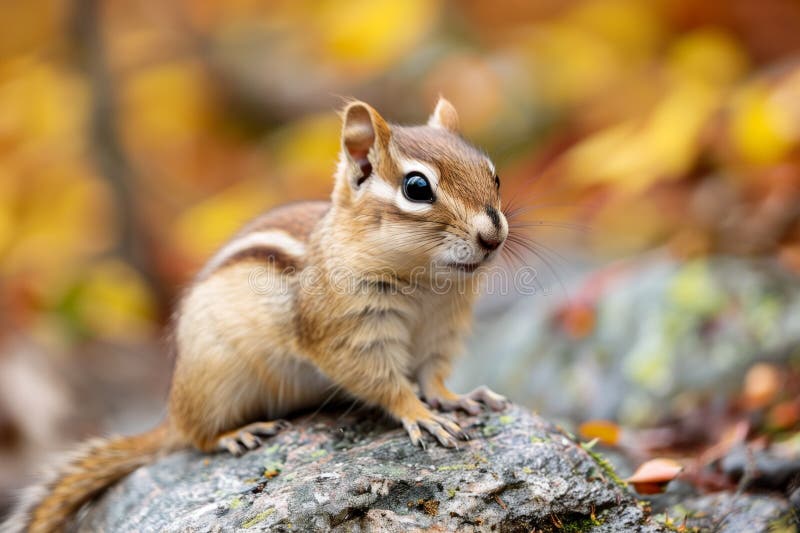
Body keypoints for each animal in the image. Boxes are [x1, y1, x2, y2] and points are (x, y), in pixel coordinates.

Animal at [4, 97, 510, 533]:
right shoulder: (348, 334)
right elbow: (382, 381)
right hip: (218, 382)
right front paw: (420, 414)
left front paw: (455, 398)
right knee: (194, 438)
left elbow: (433, 374)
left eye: (495, 175)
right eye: (417, 188)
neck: (426, 285)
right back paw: (237, 435)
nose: (492, 236)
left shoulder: (441, 329)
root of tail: (172, 409)